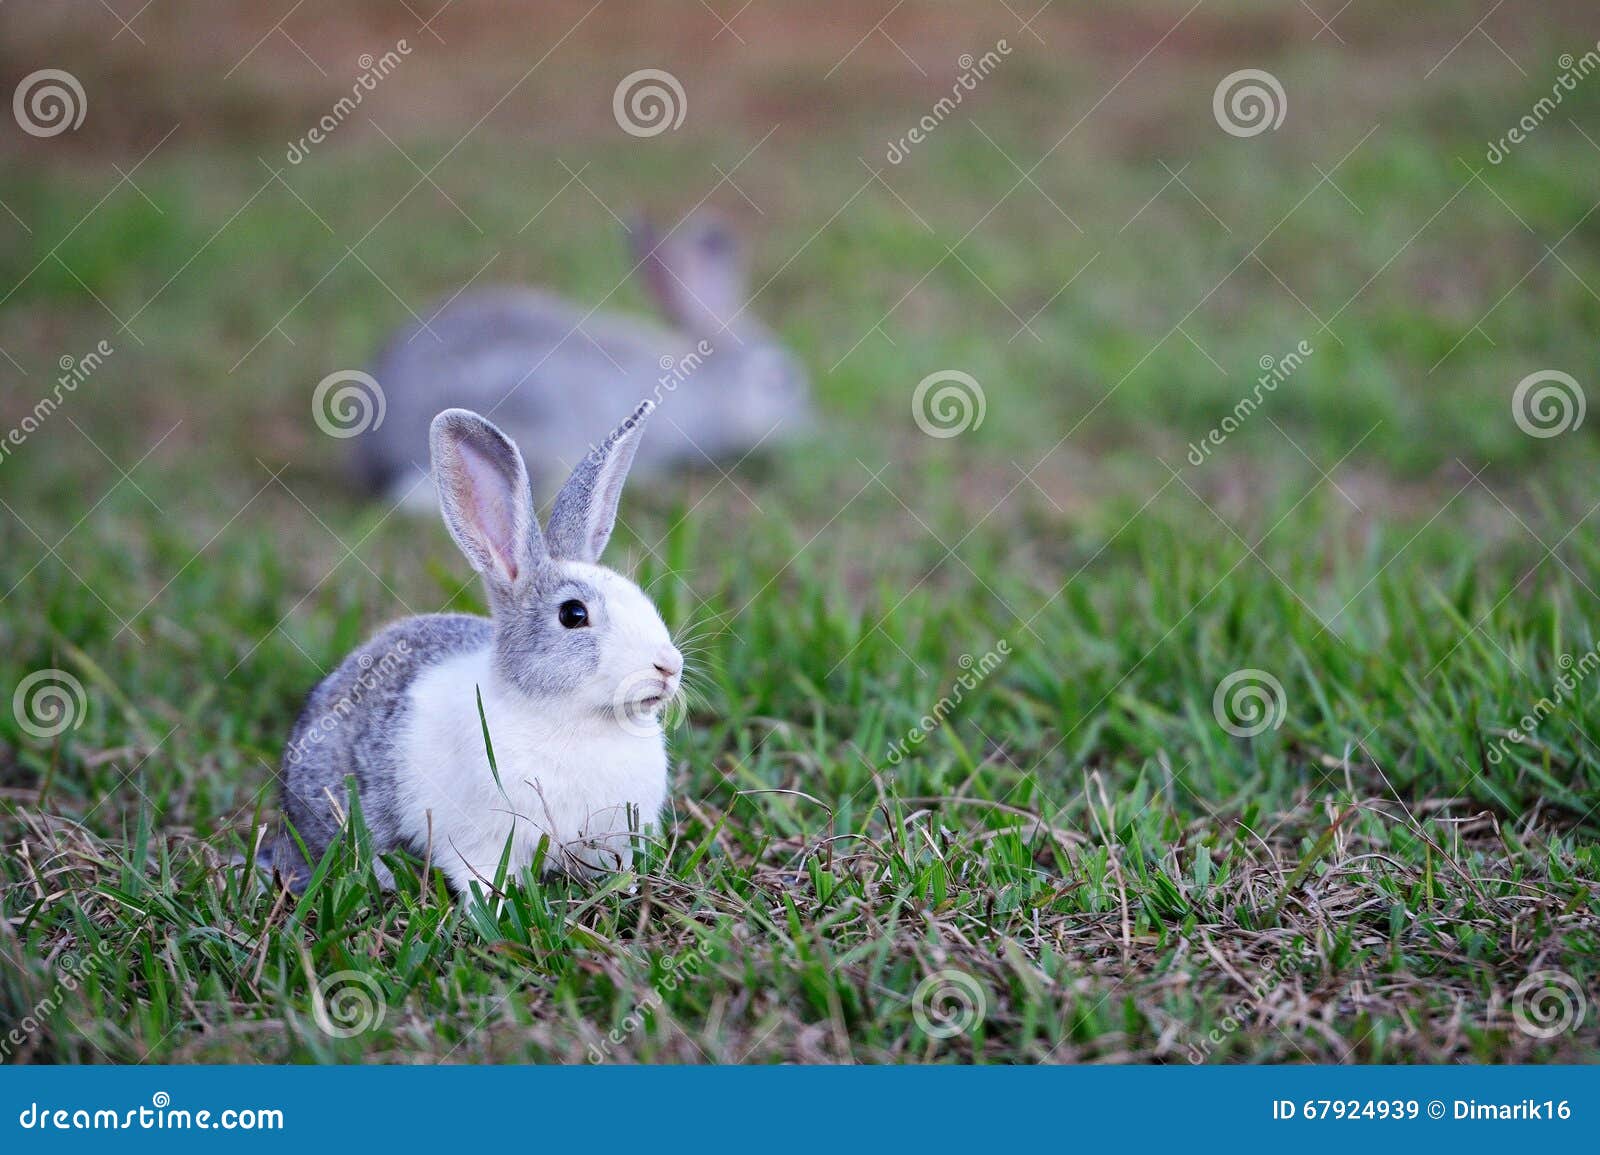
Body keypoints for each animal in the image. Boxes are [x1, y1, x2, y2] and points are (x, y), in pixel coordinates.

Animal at [262, 400, 683, 894]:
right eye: (573, 614)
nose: (668, 666)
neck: (578, 718)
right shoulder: (484, 843)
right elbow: (484, 877)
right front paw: (493, 906)